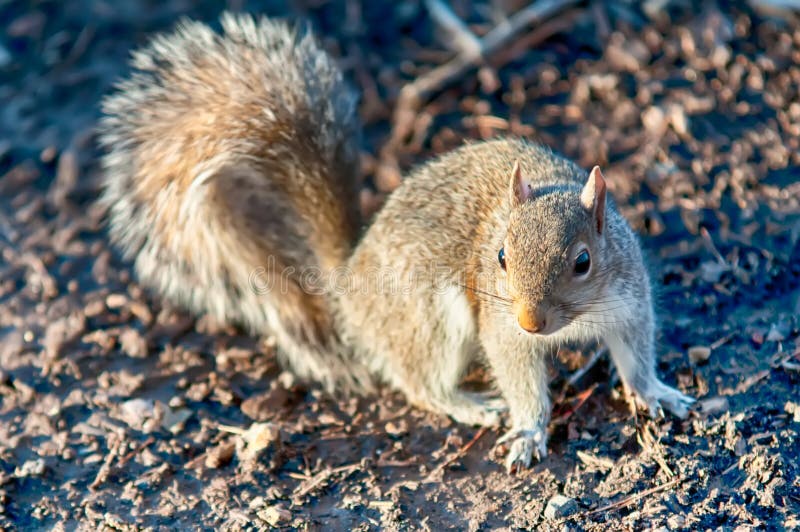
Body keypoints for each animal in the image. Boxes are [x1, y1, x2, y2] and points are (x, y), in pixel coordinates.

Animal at [99, 13, 694, 471]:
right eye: (500, 257)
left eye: (583, 262)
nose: (530, 321)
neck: (577, 318)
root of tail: (348, 286)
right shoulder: (500, 330)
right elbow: (521, 380)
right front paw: (528, 431)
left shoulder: (629, 300)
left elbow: (636, 357)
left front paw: (655, 392)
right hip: (429, 318)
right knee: (419, 383)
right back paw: (469, 405)